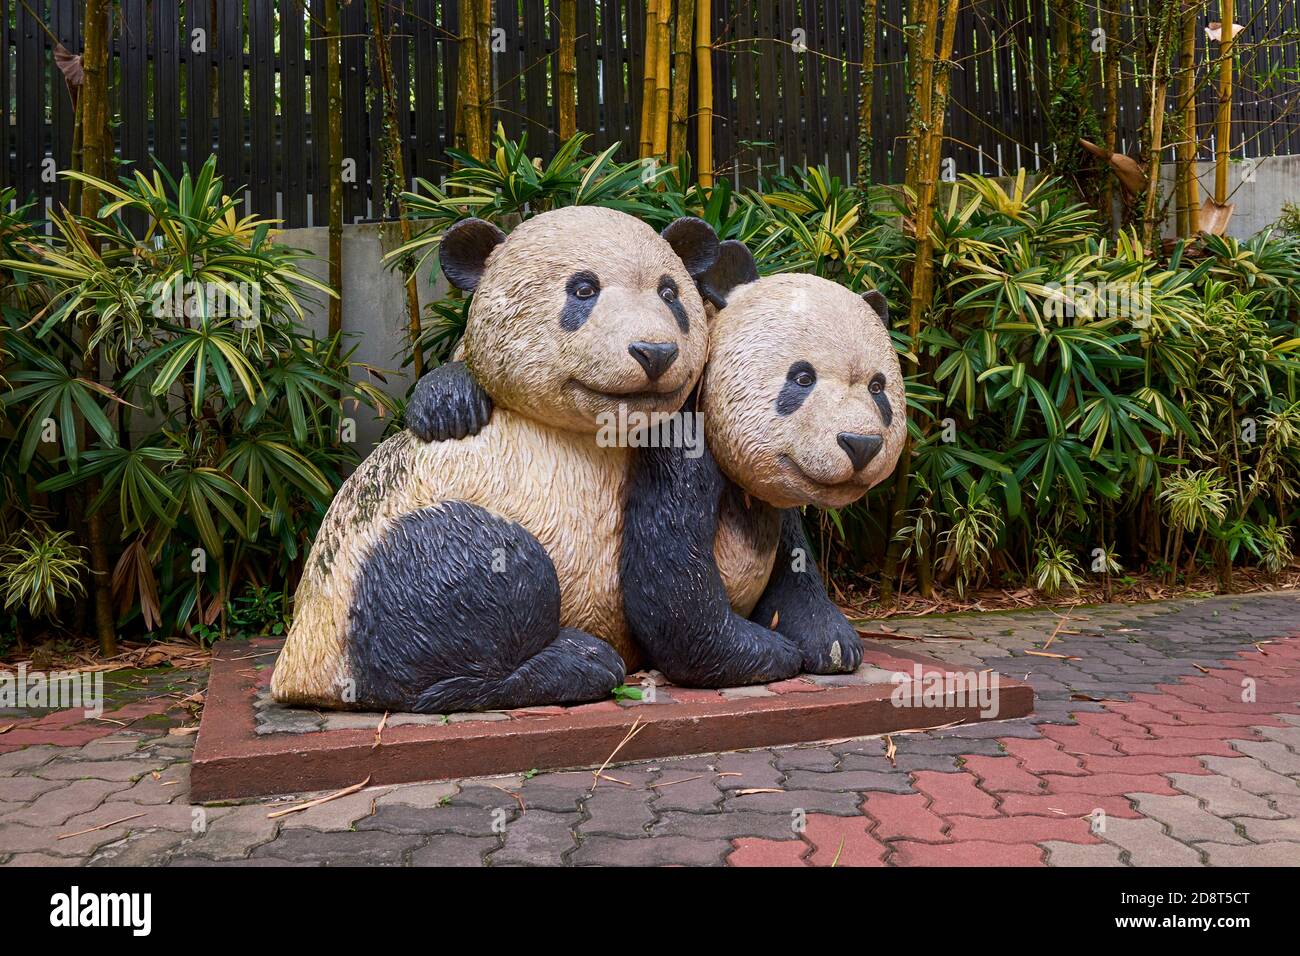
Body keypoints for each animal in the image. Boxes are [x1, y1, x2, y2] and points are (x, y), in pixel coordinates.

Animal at [270, 206, 722, 713]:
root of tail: (296, 675)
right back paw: (575, 660)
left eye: (670, 292)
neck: (589, 433)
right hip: (377, 589)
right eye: (583, 289)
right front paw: (449, 402)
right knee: (463, 564)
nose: (655, 352)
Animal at [410, 239, 907, 689]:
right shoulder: (679, 446)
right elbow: (672, 583)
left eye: (878, 388)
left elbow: (793, 561)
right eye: (802, 378)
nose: (860, 444)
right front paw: (771, 653)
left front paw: (833, 642)